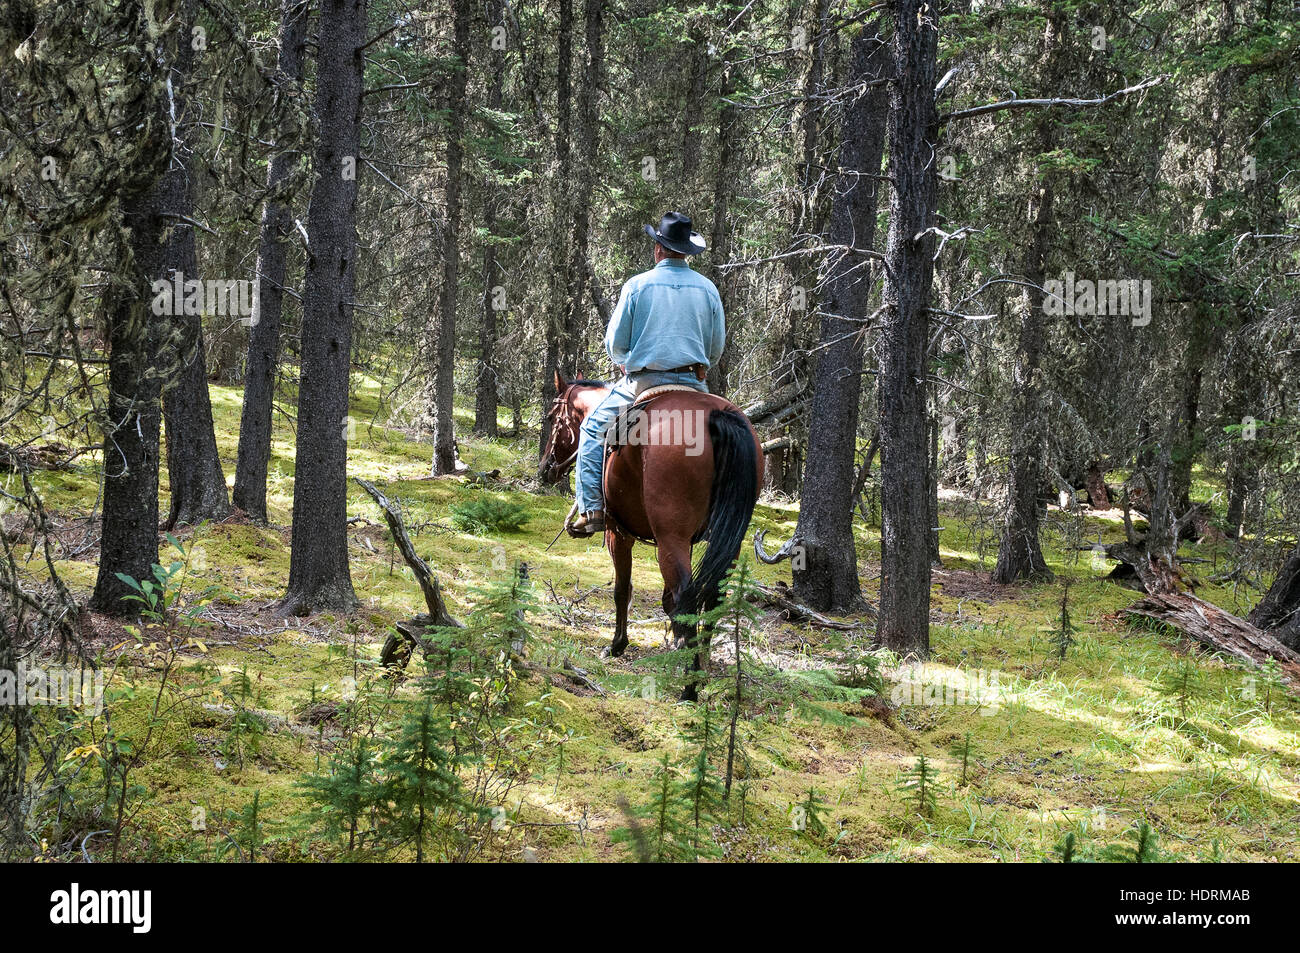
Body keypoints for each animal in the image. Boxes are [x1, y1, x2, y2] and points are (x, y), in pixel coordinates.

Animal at [540, 370, 764, 700]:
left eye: (553, 417)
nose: (545, 469)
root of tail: (717, 415)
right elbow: (667, 601)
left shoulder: (619, 533)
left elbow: (623, 590)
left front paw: (617, 645)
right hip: (727, 540)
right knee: (713, 597)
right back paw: (702, 668)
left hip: (671, 538)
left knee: (687, 597)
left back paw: (689, 689)